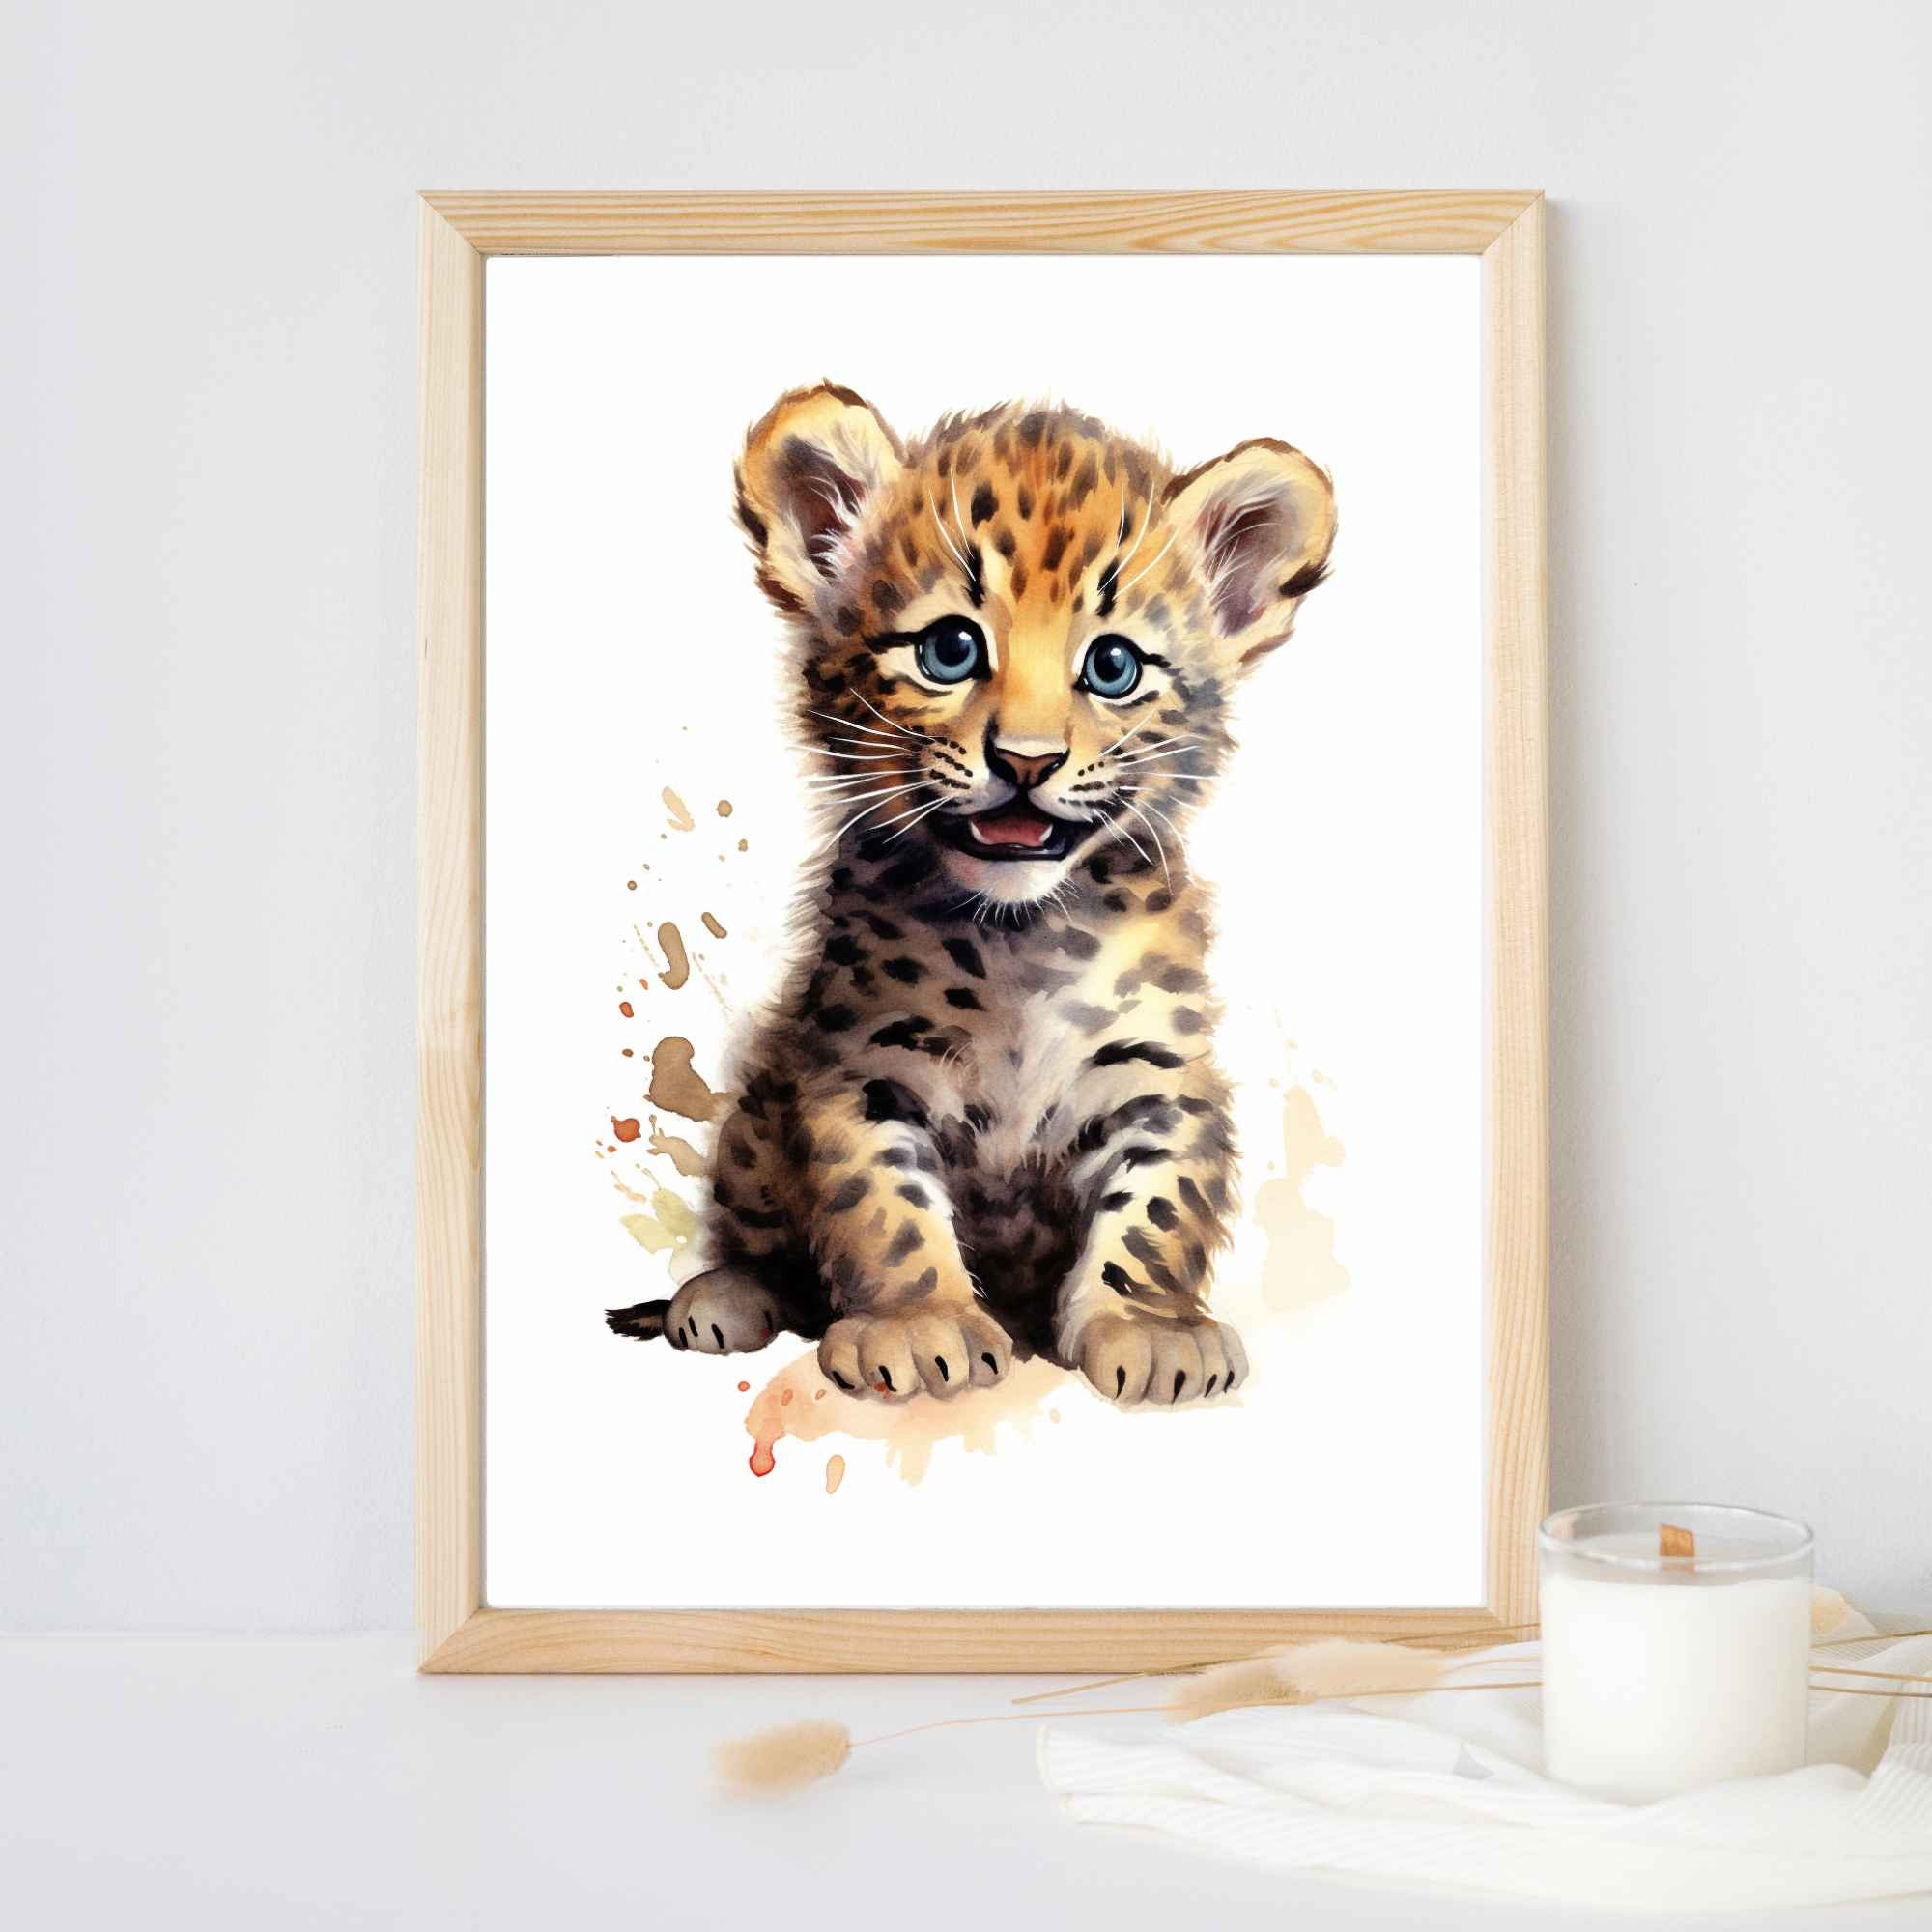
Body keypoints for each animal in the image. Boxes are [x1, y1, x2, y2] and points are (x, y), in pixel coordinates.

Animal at [607, 384, 1336, 1407]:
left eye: (1113, 666)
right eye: (950, 650)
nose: (1026, 762)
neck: (1023, 933)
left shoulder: (1159, 1076)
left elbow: (1158, 1206)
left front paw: (1152, 1329)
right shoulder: (857, 1068)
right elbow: (882, 1205)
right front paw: (922, 1327)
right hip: (757, 1114)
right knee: (757, 1232)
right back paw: (723, 1295)